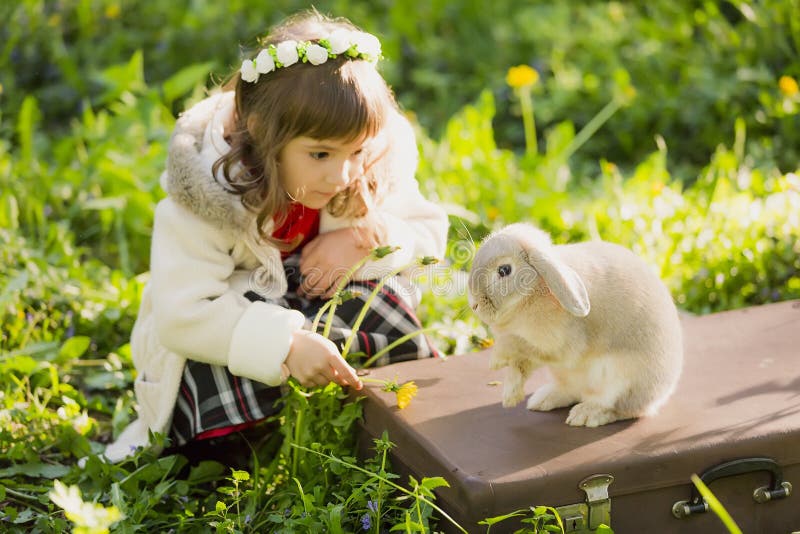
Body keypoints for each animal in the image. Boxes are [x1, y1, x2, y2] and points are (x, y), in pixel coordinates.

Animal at [467, 223, 683, 427]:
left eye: (504, 270)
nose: (474, 305)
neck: (533, 291)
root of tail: (662, 394)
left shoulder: (560, 346)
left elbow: (516, 343)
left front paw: (496, 360)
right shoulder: (537, 356)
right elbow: (520, 365)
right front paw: (510, 397)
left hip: (621, 379)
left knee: (620, 408)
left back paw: (588, 414)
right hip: (564, 375)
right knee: (571, 392)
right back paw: (542, 399)